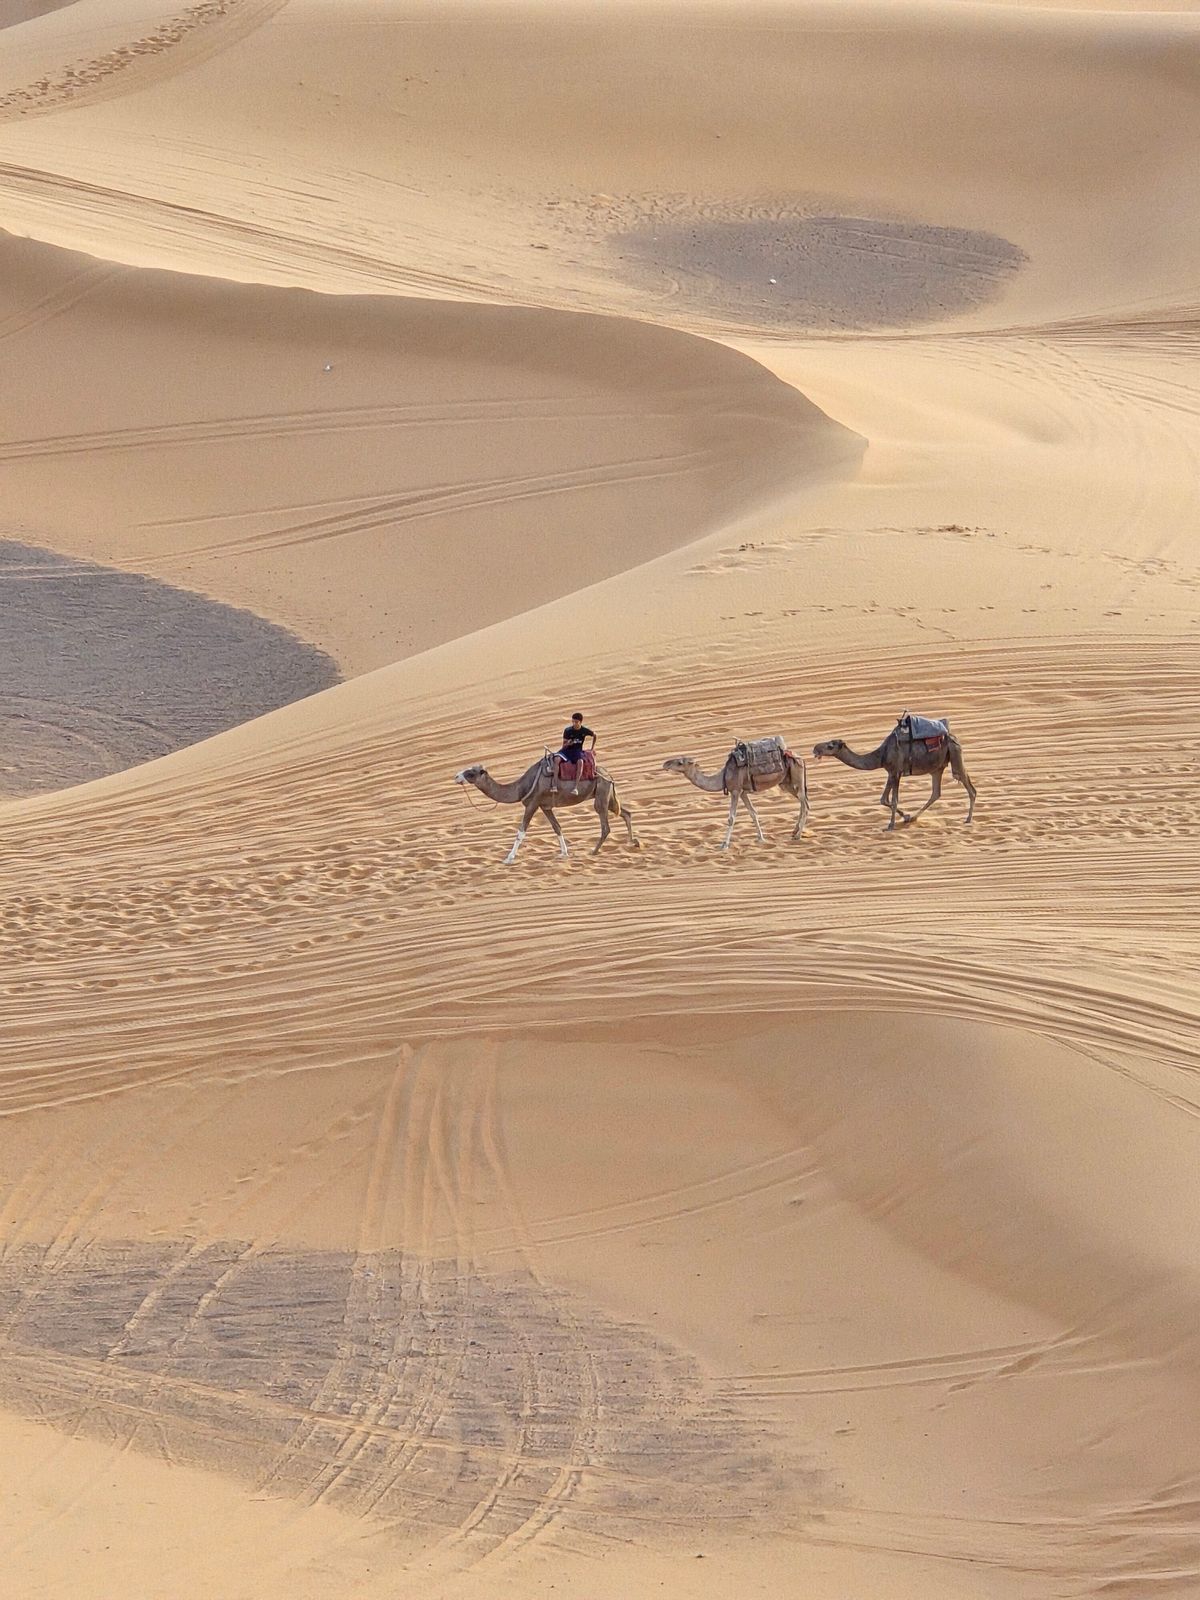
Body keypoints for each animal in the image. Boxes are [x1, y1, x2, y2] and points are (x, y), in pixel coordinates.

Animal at [454, 754, 638, 863]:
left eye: (471, 773)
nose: (456, 776)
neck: (521, 787)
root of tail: (608, 775)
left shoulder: (533, 803)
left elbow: (521, 832)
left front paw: (508, 858)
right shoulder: (545, 806)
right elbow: (557, 827)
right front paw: (564, 853)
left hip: (601, 794)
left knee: (606, 826)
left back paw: (593, 852)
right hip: (608, 795)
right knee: (626, 813)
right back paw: (634, 842)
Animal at [661, 739, 809, 850]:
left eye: (680, 762)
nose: (665, 764)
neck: (723, 776)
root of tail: (799, 757)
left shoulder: (735, 791)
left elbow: (731, 818)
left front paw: (724, 845)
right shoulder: (743, 792)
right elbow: (753, 813)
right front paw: (761, 838)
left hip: (797, 775)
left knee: (805, 804)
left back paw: (798, 836)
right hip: (786, 783)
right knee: (802, 803)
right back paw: (794, 832)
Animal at [812, 719, 976, 830]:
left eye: (830, 746)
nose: (815, 748)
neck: (880, 756)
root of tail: (953, 736)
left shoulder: (896, 772)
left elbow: (893, 799)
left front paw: (891, 825)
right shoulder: (891, 773)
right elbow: (884, 799)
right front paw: (906, 817)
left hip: (955, 754)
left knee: (969, 786)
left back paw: (968, 819)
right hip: (937, 768)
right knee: (936, 793)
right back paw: (914, 818)